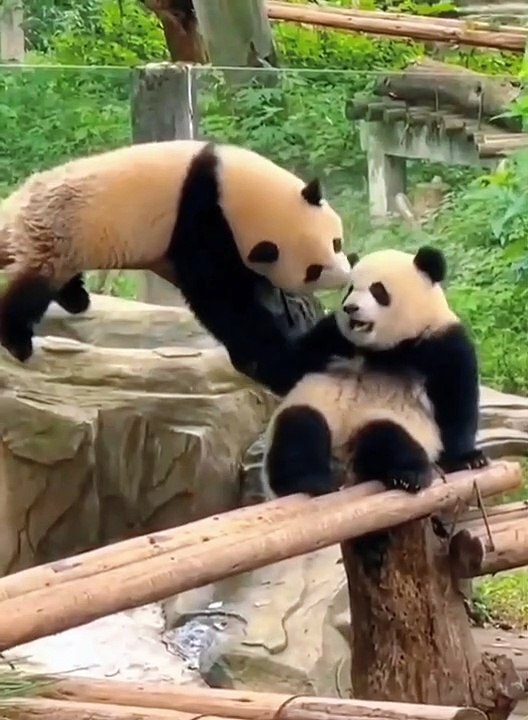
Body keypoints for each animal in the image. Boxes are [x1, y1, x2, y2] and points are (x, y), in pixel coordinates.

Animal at [0, 139, 352, 390]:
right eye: (313, 270)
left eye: (336, 242)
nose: (346, 276)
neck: (227, 187)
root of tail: (13, 206)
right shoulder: (201, 220)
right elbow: (223, 298)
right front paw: (283, 361)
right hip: (54, 232)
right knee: (33, 286)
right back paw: (17, 339)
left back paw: (76, 298)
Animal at [262, 245, 488, 566]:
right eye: (349, 289)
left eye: (378, 290)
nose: (350, 309)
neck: (384, 348)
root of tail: (342, 458)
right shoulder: (331, 336)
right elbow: (283, 368)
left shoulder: (441, 340)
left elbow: (456, 399)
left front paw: (468, 458)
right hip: (316, 407)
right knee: (299, 426)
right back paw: (308, 480)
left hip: (390, 424)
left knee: (387, 436)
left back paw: (407, 476)